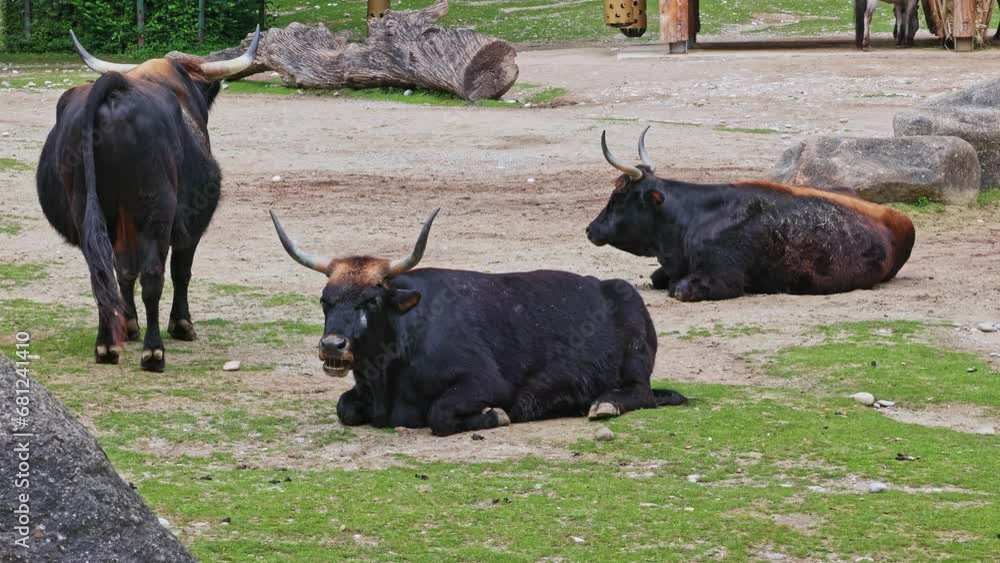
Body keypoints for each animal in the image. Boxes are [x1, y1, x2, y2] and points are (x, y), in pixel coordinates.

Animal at [36, 28, 261, 371]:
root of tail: (116, 92)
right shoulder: (188, 227)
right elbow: (180, 271)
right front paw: (181, 324)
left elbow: (124, 273)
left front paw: (129, 325)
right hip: (157, 212)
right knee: (154, 276)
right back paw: (153, 352)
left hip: (89, 208)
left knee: (101, 275)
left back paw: (106, 346)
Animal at [269, 209, 687, 436]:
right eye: (326, 300)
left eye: (370, 300)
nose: (332, 346)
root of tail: (612, 286)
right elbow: (344, 407)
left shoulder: (484, 382)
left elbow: (440, 414)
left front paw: (494, 416)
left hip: (635, 363)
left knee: (641, 394)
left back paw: (604, 404)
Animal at [586, 129, 916, 302]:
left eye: (619, 197)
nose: (590, 229)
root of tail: (899, 218)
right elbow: (657, 278)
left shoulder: (721, 280)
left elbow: (677, 289)